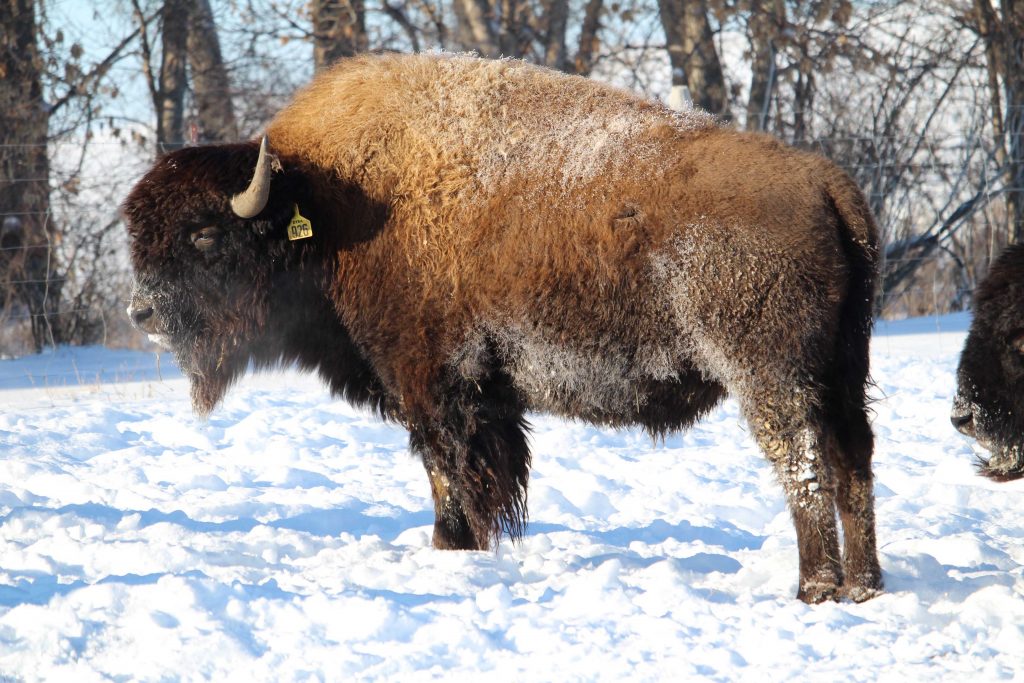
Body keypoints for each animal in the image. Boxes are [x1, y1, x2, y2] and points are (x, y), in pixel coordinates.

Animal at [123, 53, 882, 602]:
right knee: (853, 458)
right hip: (843, 369)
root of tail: (825, 183)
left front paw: (455, 546)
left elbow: (448, 470)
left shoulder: (436, 384)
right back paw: (866, 585)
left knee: (802, 460)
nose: (142, 313)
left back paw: (815, 588)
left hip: (768, 374)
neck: (325, 205)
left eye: (202, 233)